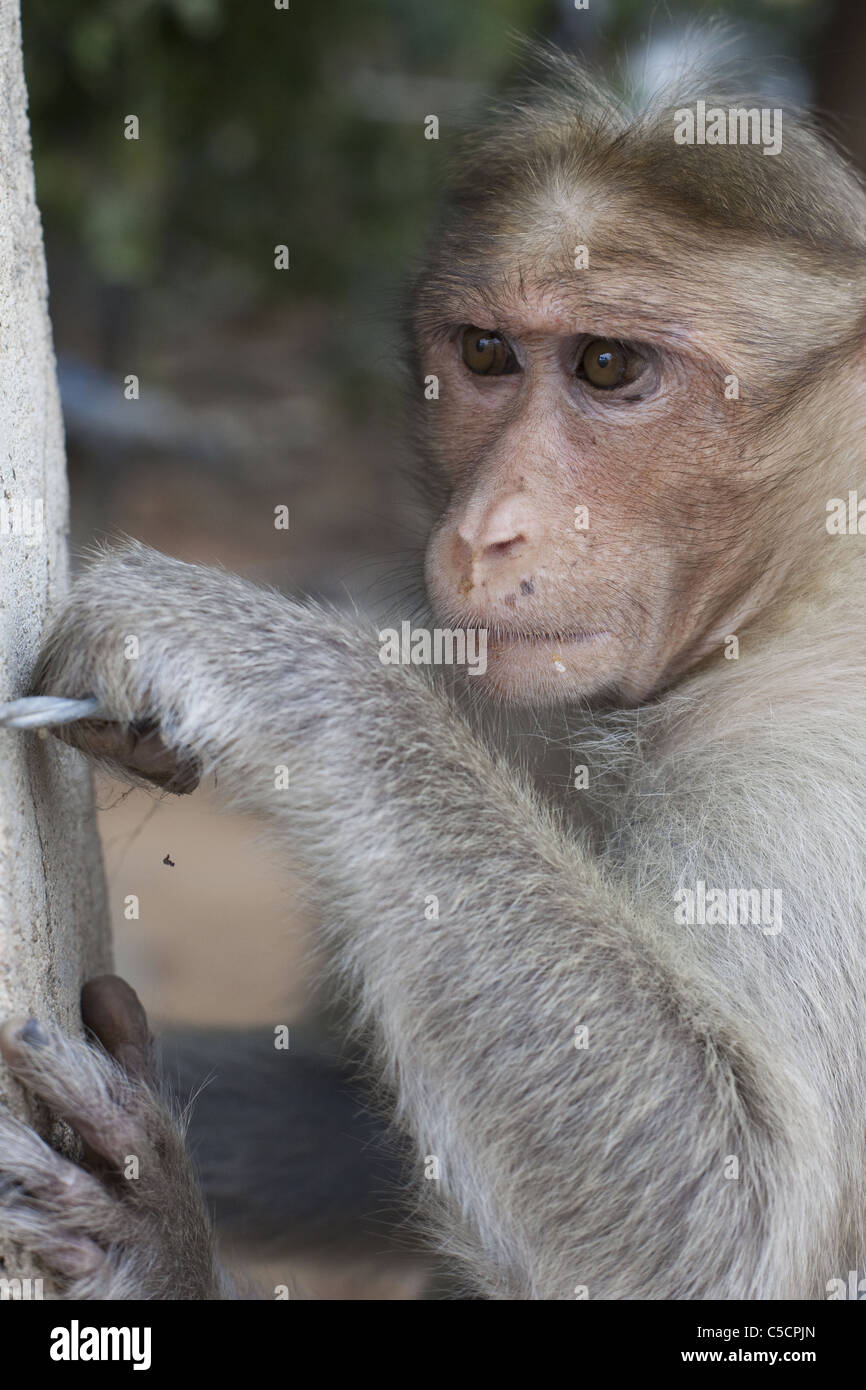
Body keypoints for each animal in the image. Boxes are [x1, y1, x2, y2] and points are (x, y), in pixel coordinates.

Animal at [2, 43, 866, 1300]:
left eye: (607, 365)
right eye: (484, 355)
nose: (480, 531)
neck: (786, 584)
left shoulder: (813, 759)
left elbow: (722, 1219)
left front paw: (277, 666)